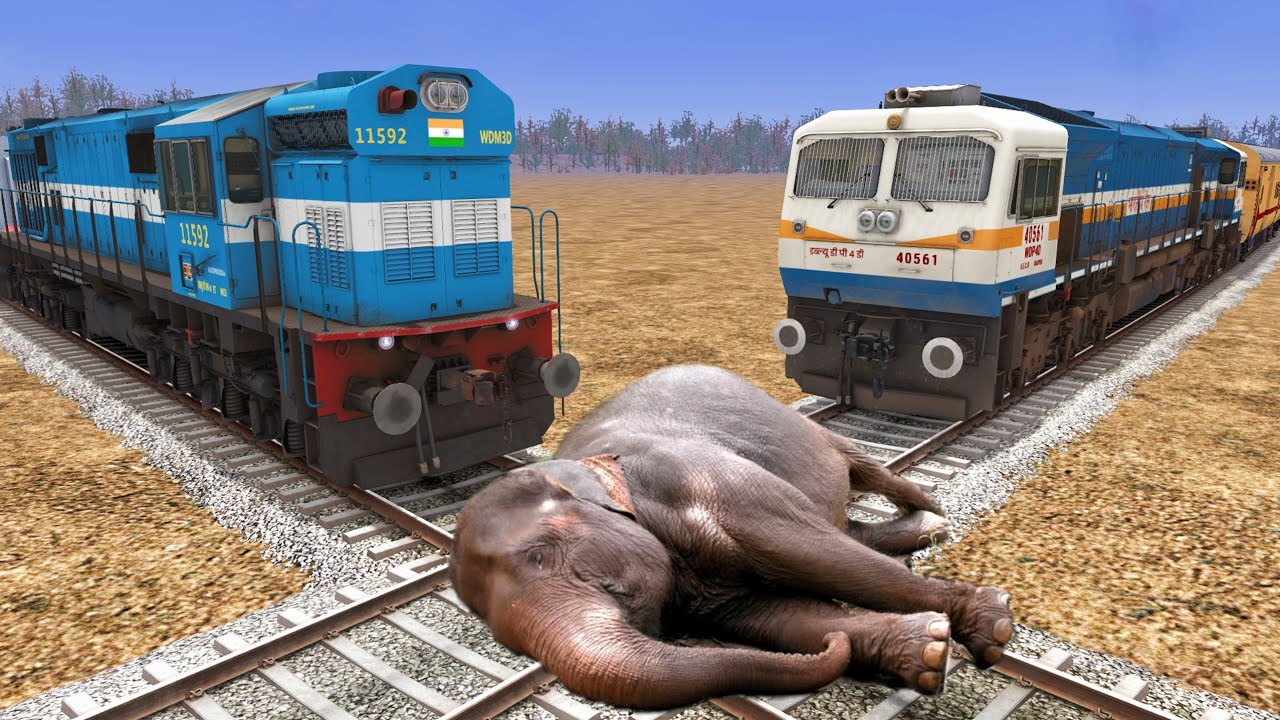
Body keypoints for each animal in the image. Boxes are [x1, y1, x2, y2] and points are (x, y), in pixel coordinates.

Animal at [450, 365, 1013, 710]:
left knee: (866, 479)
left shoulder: (704, 480)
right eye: (504, 643)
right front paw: (928, 652)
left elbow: (813, 552)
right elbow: (779, 617)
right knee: (846, 527)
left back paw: (934, 520)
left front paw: (991, 626)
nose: (835, 647)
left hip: (812, 432)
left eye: (540, 556)